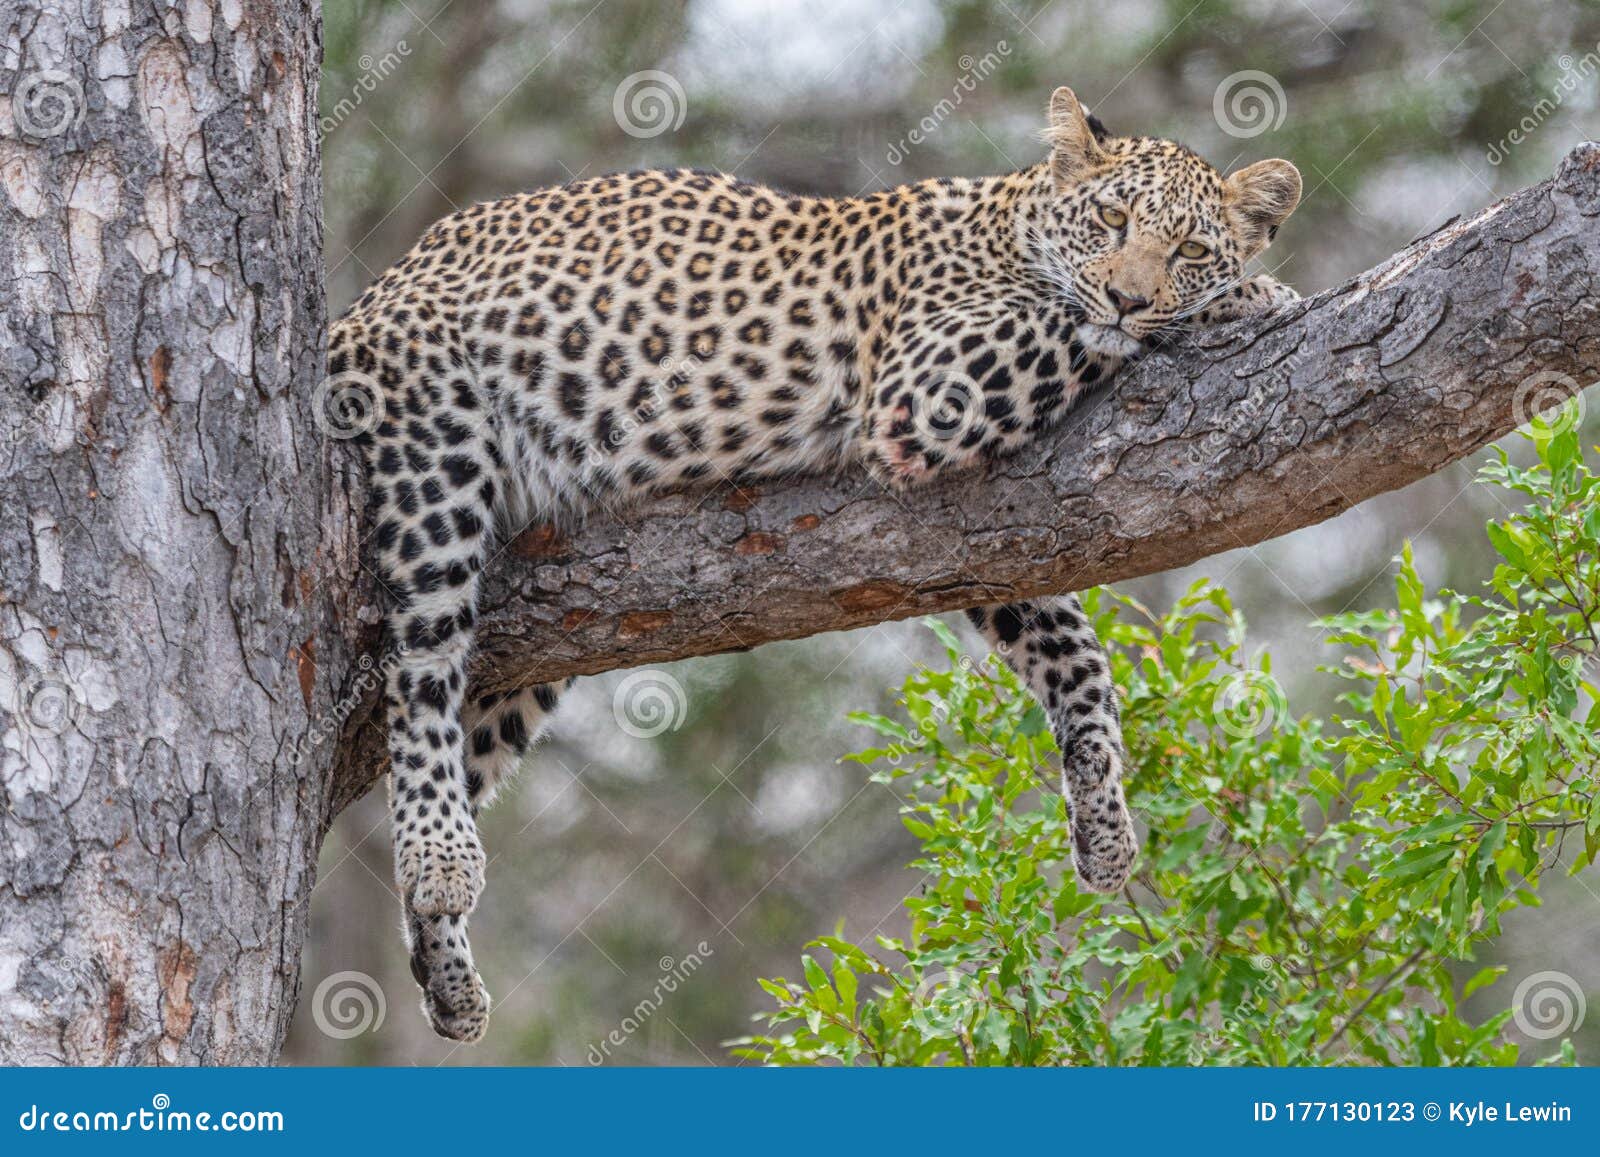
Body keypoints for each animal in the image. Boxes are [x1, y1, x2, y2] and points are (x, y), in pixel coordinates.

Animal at [324, 85, 1302, 1043]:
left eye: (1187, 248)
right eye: (1109, 219)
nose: (1132, 295)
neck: (1013, 220)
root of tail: (366, 299)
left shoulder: (990, 536)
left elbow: (1079, 658)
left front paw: (1103, 826)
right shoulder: (928, 388)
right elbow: (1076, 323)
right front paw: (1253, 294)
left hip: (541, 639)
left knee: (463, 727)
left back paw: (448, 979)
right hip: (438, 441)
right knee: (419, 671)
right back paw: (440, 858)